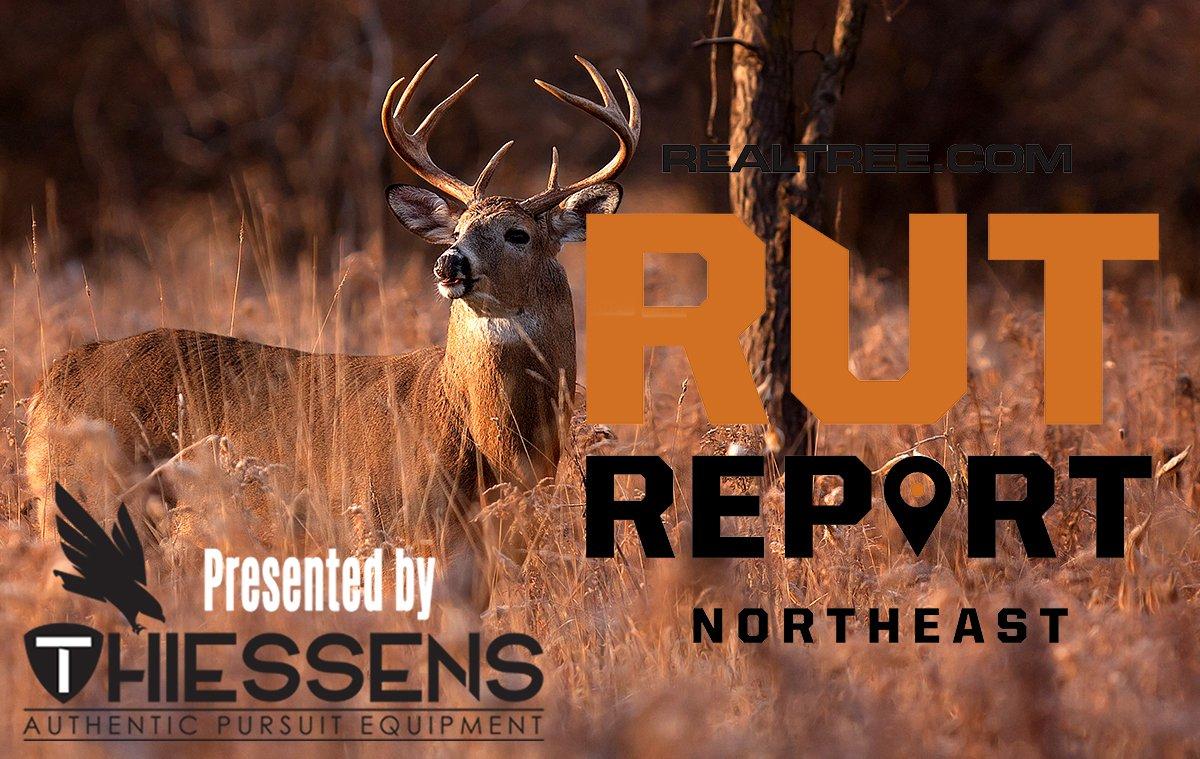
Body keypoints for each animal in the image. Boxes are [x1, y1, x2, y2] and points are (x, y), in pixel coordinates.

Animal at [23, 54, 640, 611]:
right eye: (459, 228)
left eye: (518, 234)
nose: (449, 263)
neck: (485, 439)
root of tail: (52, 384)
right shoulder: (383, 524)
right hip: (95, 493)